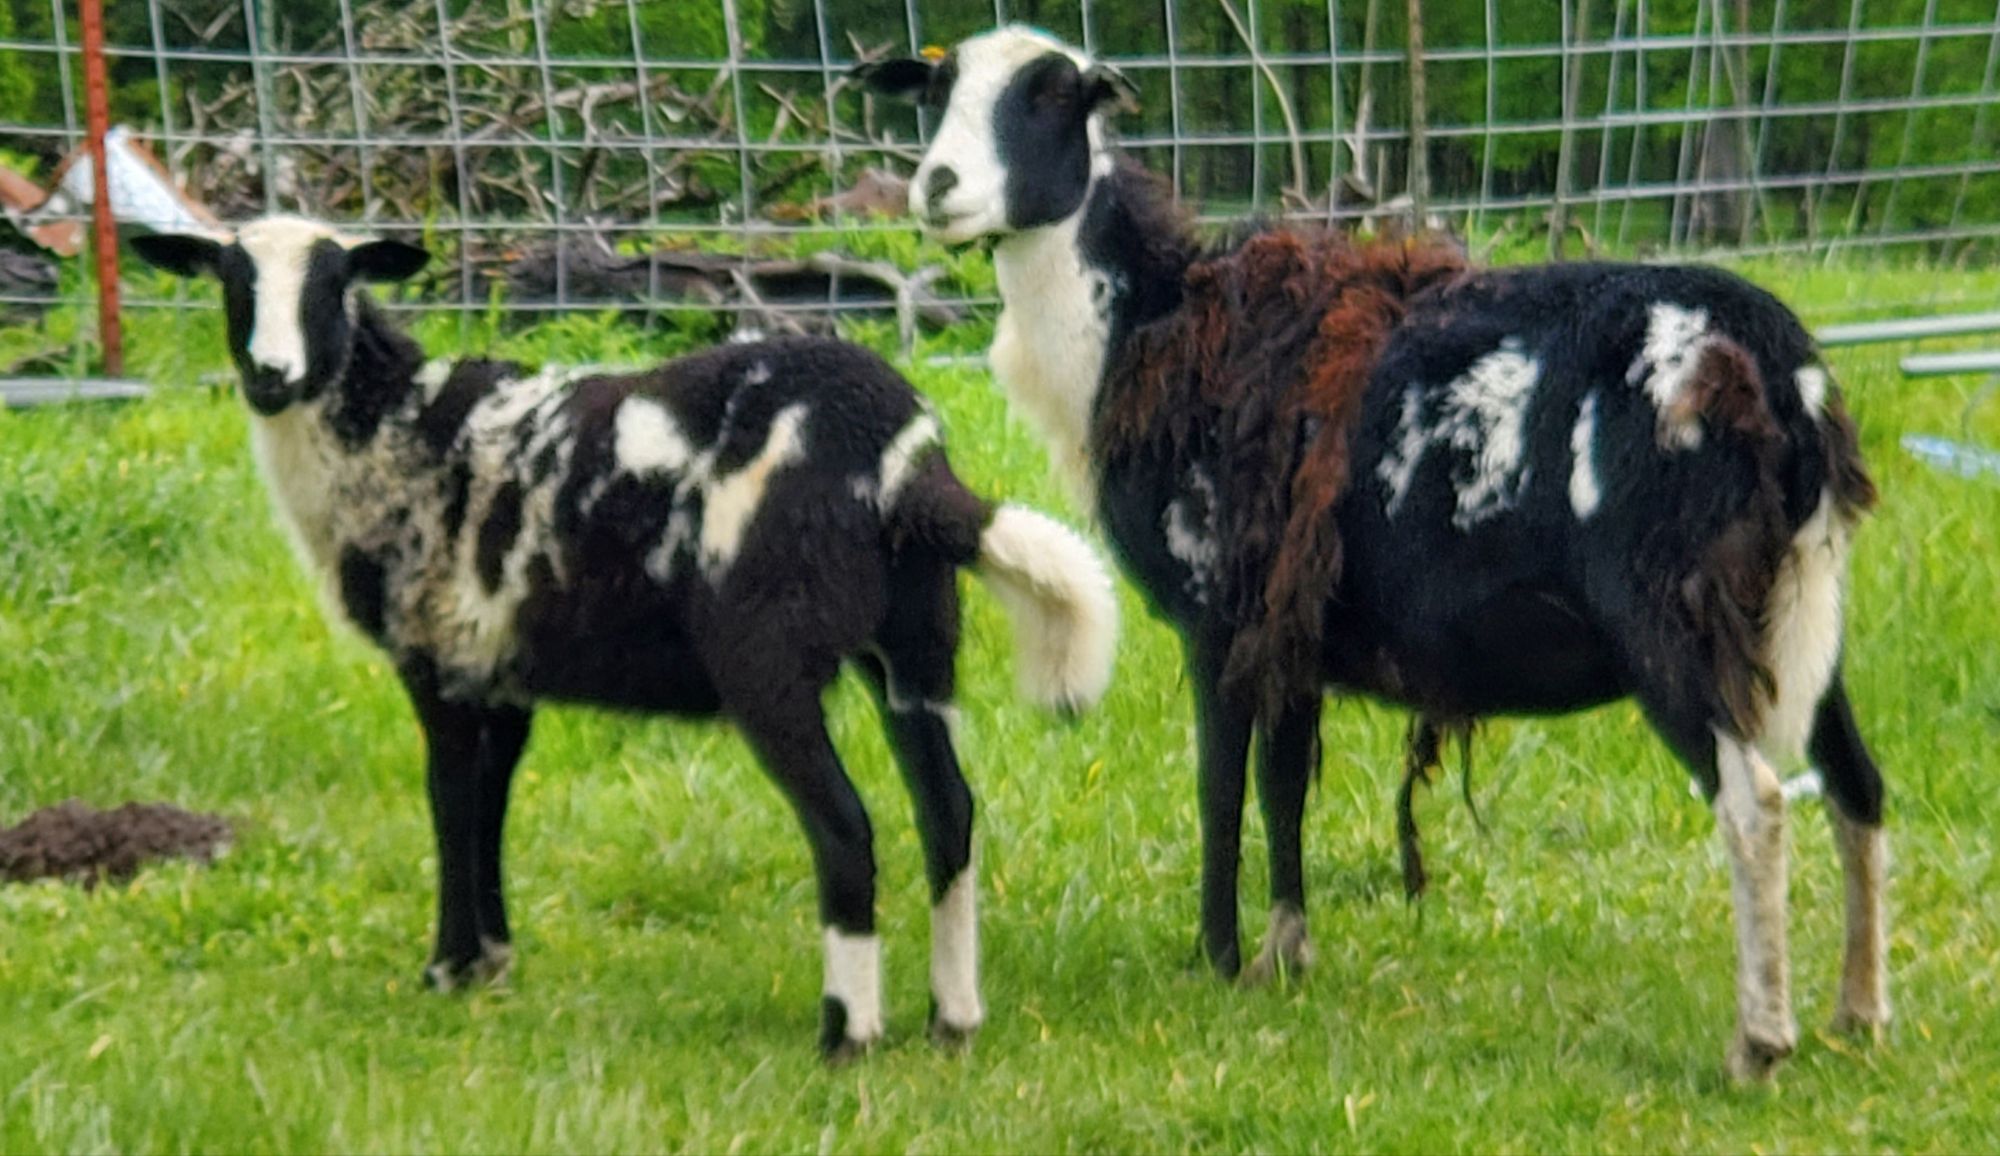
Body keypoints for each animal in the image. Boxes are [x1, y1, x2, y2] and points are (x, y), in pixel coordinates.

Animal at [129, 214, 1119, 1060]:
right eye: (232, 282)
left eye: (331, 285)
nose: (271, 375)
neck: (388, 431)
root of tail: (903, 465)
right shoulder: (499, 669)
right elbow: (490, 803)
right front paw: (493, 961)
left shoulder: (435, 656)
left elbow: (449, 801)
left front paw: (446, 968)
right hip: (917, 641)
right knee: (948, 812)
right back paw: (953, 1019)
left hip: (768, 654)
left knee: (845, 828)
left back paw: (849, 1033)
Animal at [861, 25, 1889, 1081]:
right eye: (936, 92)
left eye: (1052, 97)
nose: (936, 187)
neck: (1136, 325)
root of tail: (1782, 373)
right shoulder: (1293, 622)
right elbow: (1282, 787)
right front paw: (1286, 952)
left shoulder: (1219, 614)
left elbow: (1220, 790)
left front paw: (1216, 960)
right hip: (1793, 602)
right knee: (1856, 785)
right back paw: (1860, 1012)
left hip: (1668, 610)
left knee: (1756, 804)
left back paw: (1760, 1043)